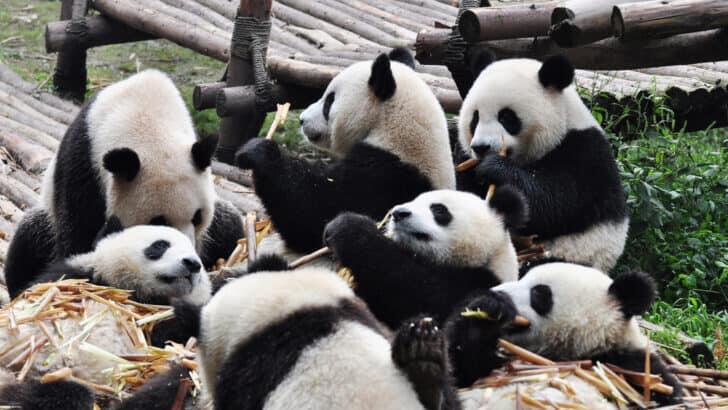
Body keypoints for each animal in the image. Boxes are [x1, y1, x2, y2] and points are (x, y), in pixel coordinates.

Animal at [4, 69, 243, 297]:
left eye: (197, 217)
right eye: (159, 221)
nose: (192, 258)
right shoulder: (85, 161)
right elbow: (77, 231)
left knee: (230, 223)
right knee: (29, 240)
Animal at [322, 187, 526, 329]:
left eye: (439, 209)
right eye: (412, 200)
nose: (398, 213)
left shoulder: (477, 281)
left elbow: (416, 291)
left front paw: (349, 227)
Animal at [445, 262, 683, 405]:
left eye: (539, 293)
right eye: (522, 278)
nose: (498, 291)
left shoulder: (631, 366)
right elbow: (460, 368)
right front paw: (488, 307)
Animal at [457, 51, 628, 272]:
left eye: (506, 117)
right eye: (475, 118)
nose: (480, 147)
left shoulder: (585, 156)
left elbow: (551, 203)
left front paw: (495, 169)